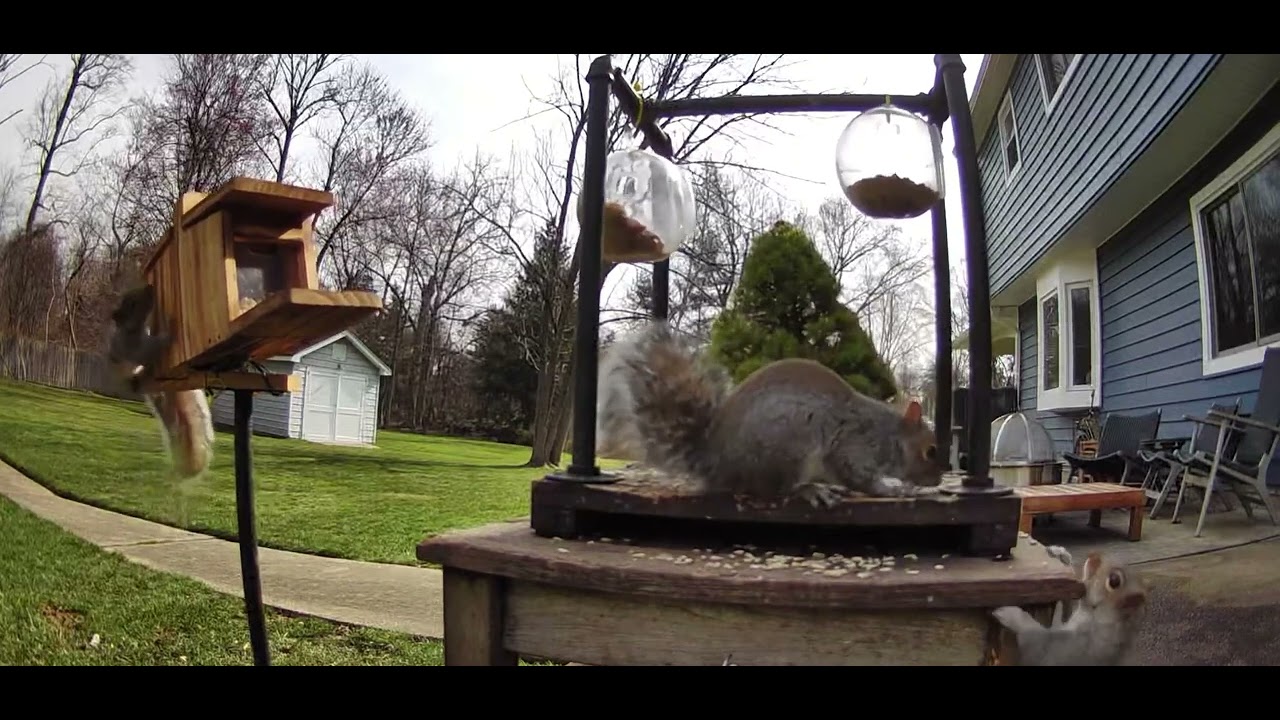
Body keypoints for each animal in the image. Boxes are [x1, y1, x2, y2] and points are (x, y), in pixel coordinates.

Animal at [107, 284, 215, 481]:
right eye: (132, 304)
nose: (150, 287)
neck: (133, 330)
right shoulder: (134, 347)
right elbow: (150, 349)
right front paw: (171, 330)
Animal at [595, 321, 944, 508]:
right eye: (931, 451)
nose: (940, 478)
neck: (889, 435)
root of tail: (718, 463)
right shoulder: (854, 443)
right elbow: (859, 476)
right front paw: (893, 488)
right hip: (790, 442)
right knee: (776, 489)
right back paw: (811, 490)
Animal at [991, 548, 1149, 666]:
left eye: (1114, 581)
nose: (1093, 555)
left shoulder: (1072, 650)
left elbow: (1038, 644)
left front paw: (1012, 614)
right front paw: (1062, 555)